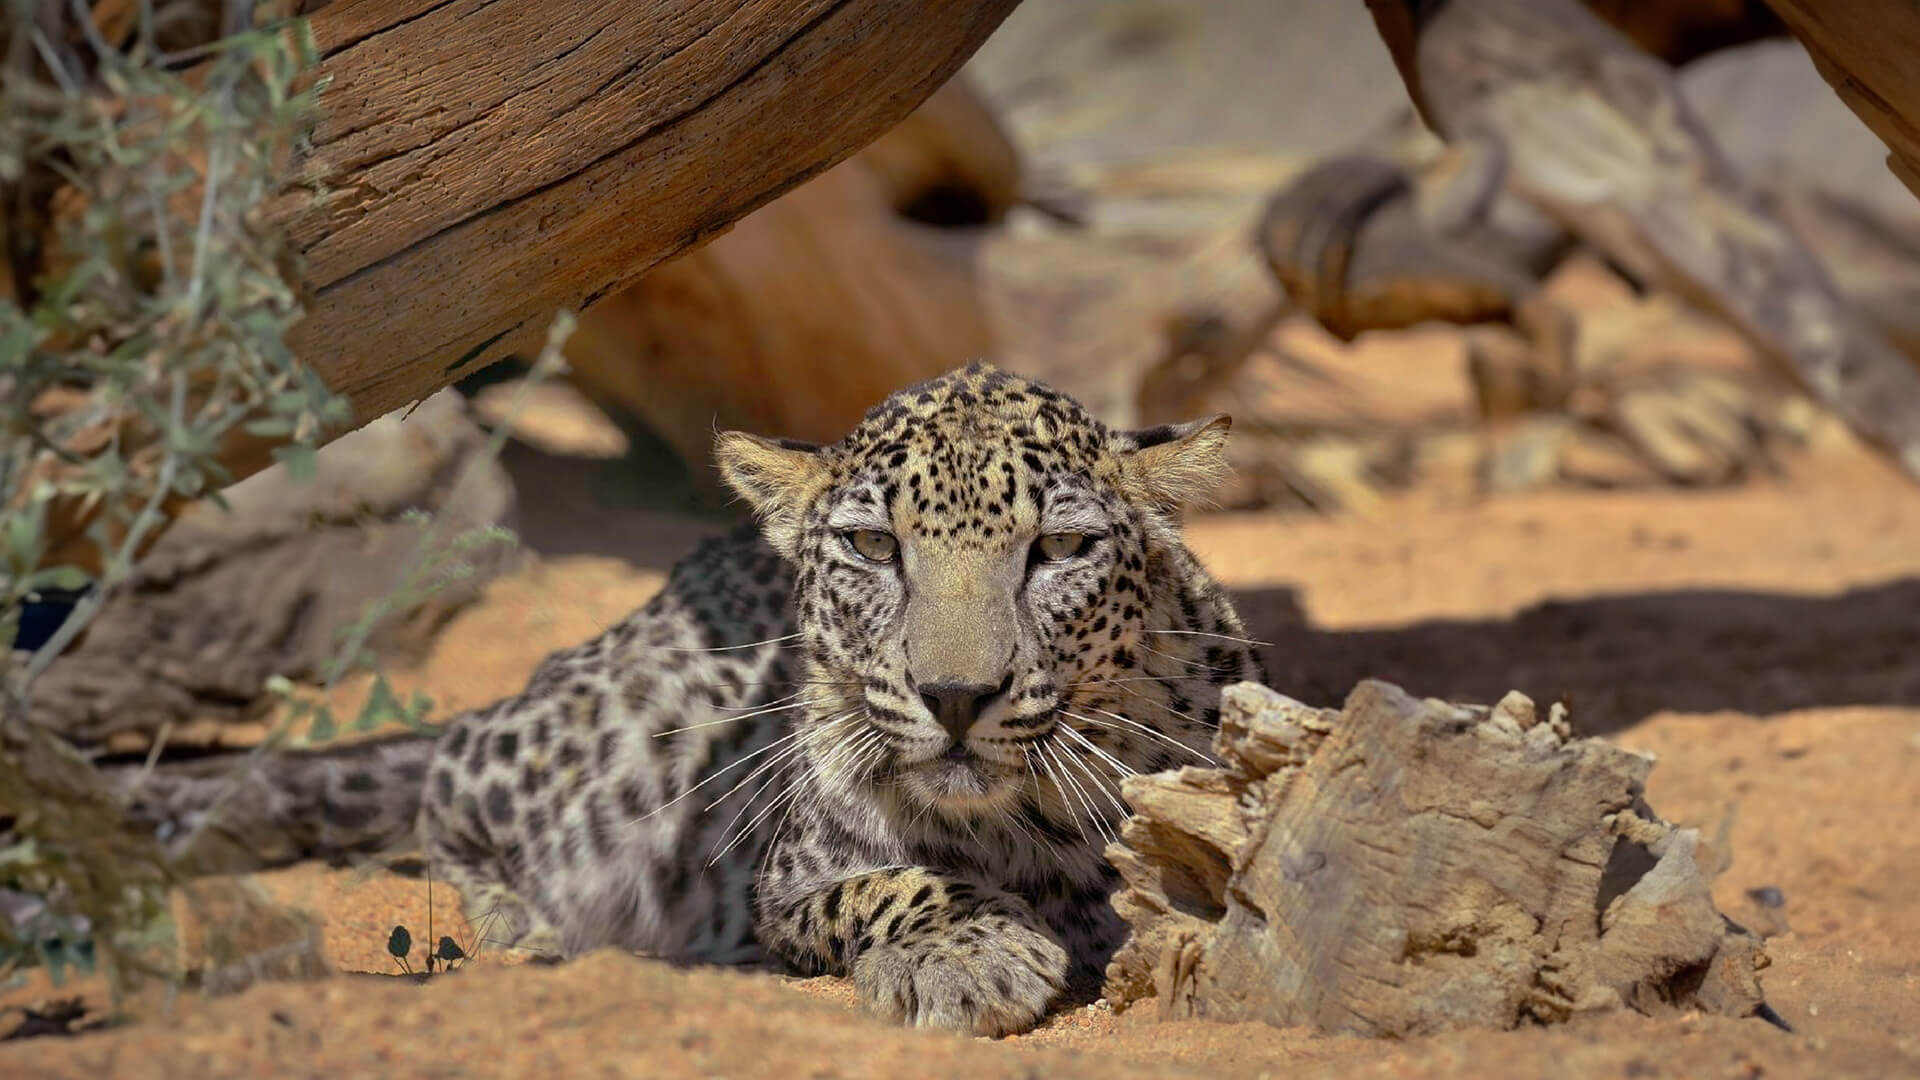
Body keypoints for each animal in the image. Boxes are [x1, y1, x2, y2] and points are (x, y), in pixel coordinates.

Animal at [121, 362, 1266, 1036]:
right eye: (873, 546)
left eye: (1059, 550)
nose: (954, 696)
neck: (1016, 823)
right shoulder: (787, 886)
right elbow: (896, 884)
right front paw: (972, 951)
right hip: (634, 732)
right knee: (454, 772)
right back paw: (514, 919)